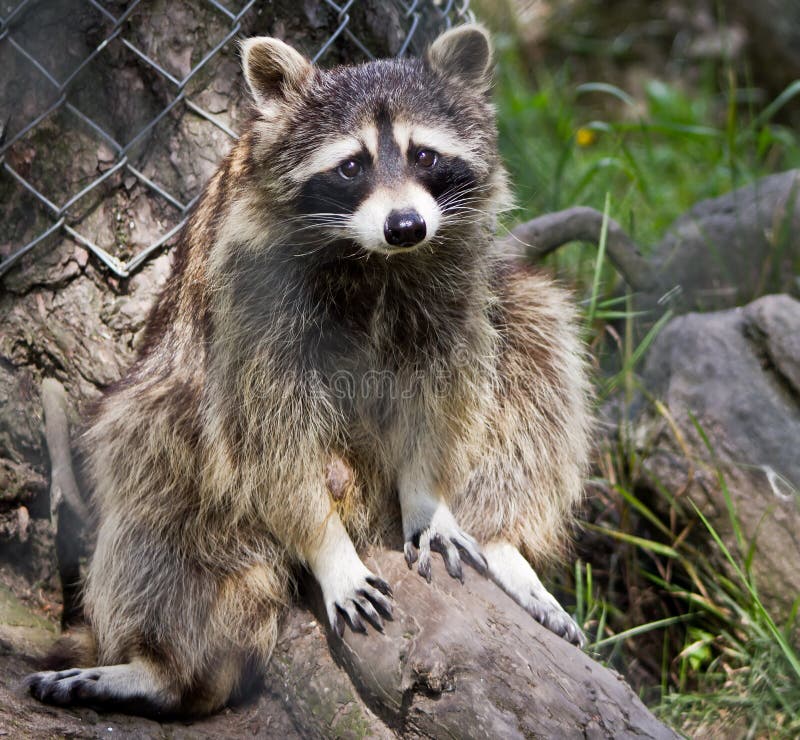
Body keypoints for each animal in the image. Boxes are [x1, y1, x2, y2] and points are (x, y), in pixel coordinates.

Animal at [26, 24, 592, 717]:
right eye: (352, 166)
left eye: (425, 156)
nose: (406, 225)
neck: (375, 255)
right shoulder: (254, 298)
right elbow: (268, 431)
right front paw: (329, 551)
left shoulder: (452, 279)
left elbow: (443, 391)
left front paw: (429, 499)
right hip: (174, 403)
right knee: (154, 487)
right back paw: (163, 669)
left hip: (501, 317)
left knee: (535, 334)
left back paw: (501, 538)